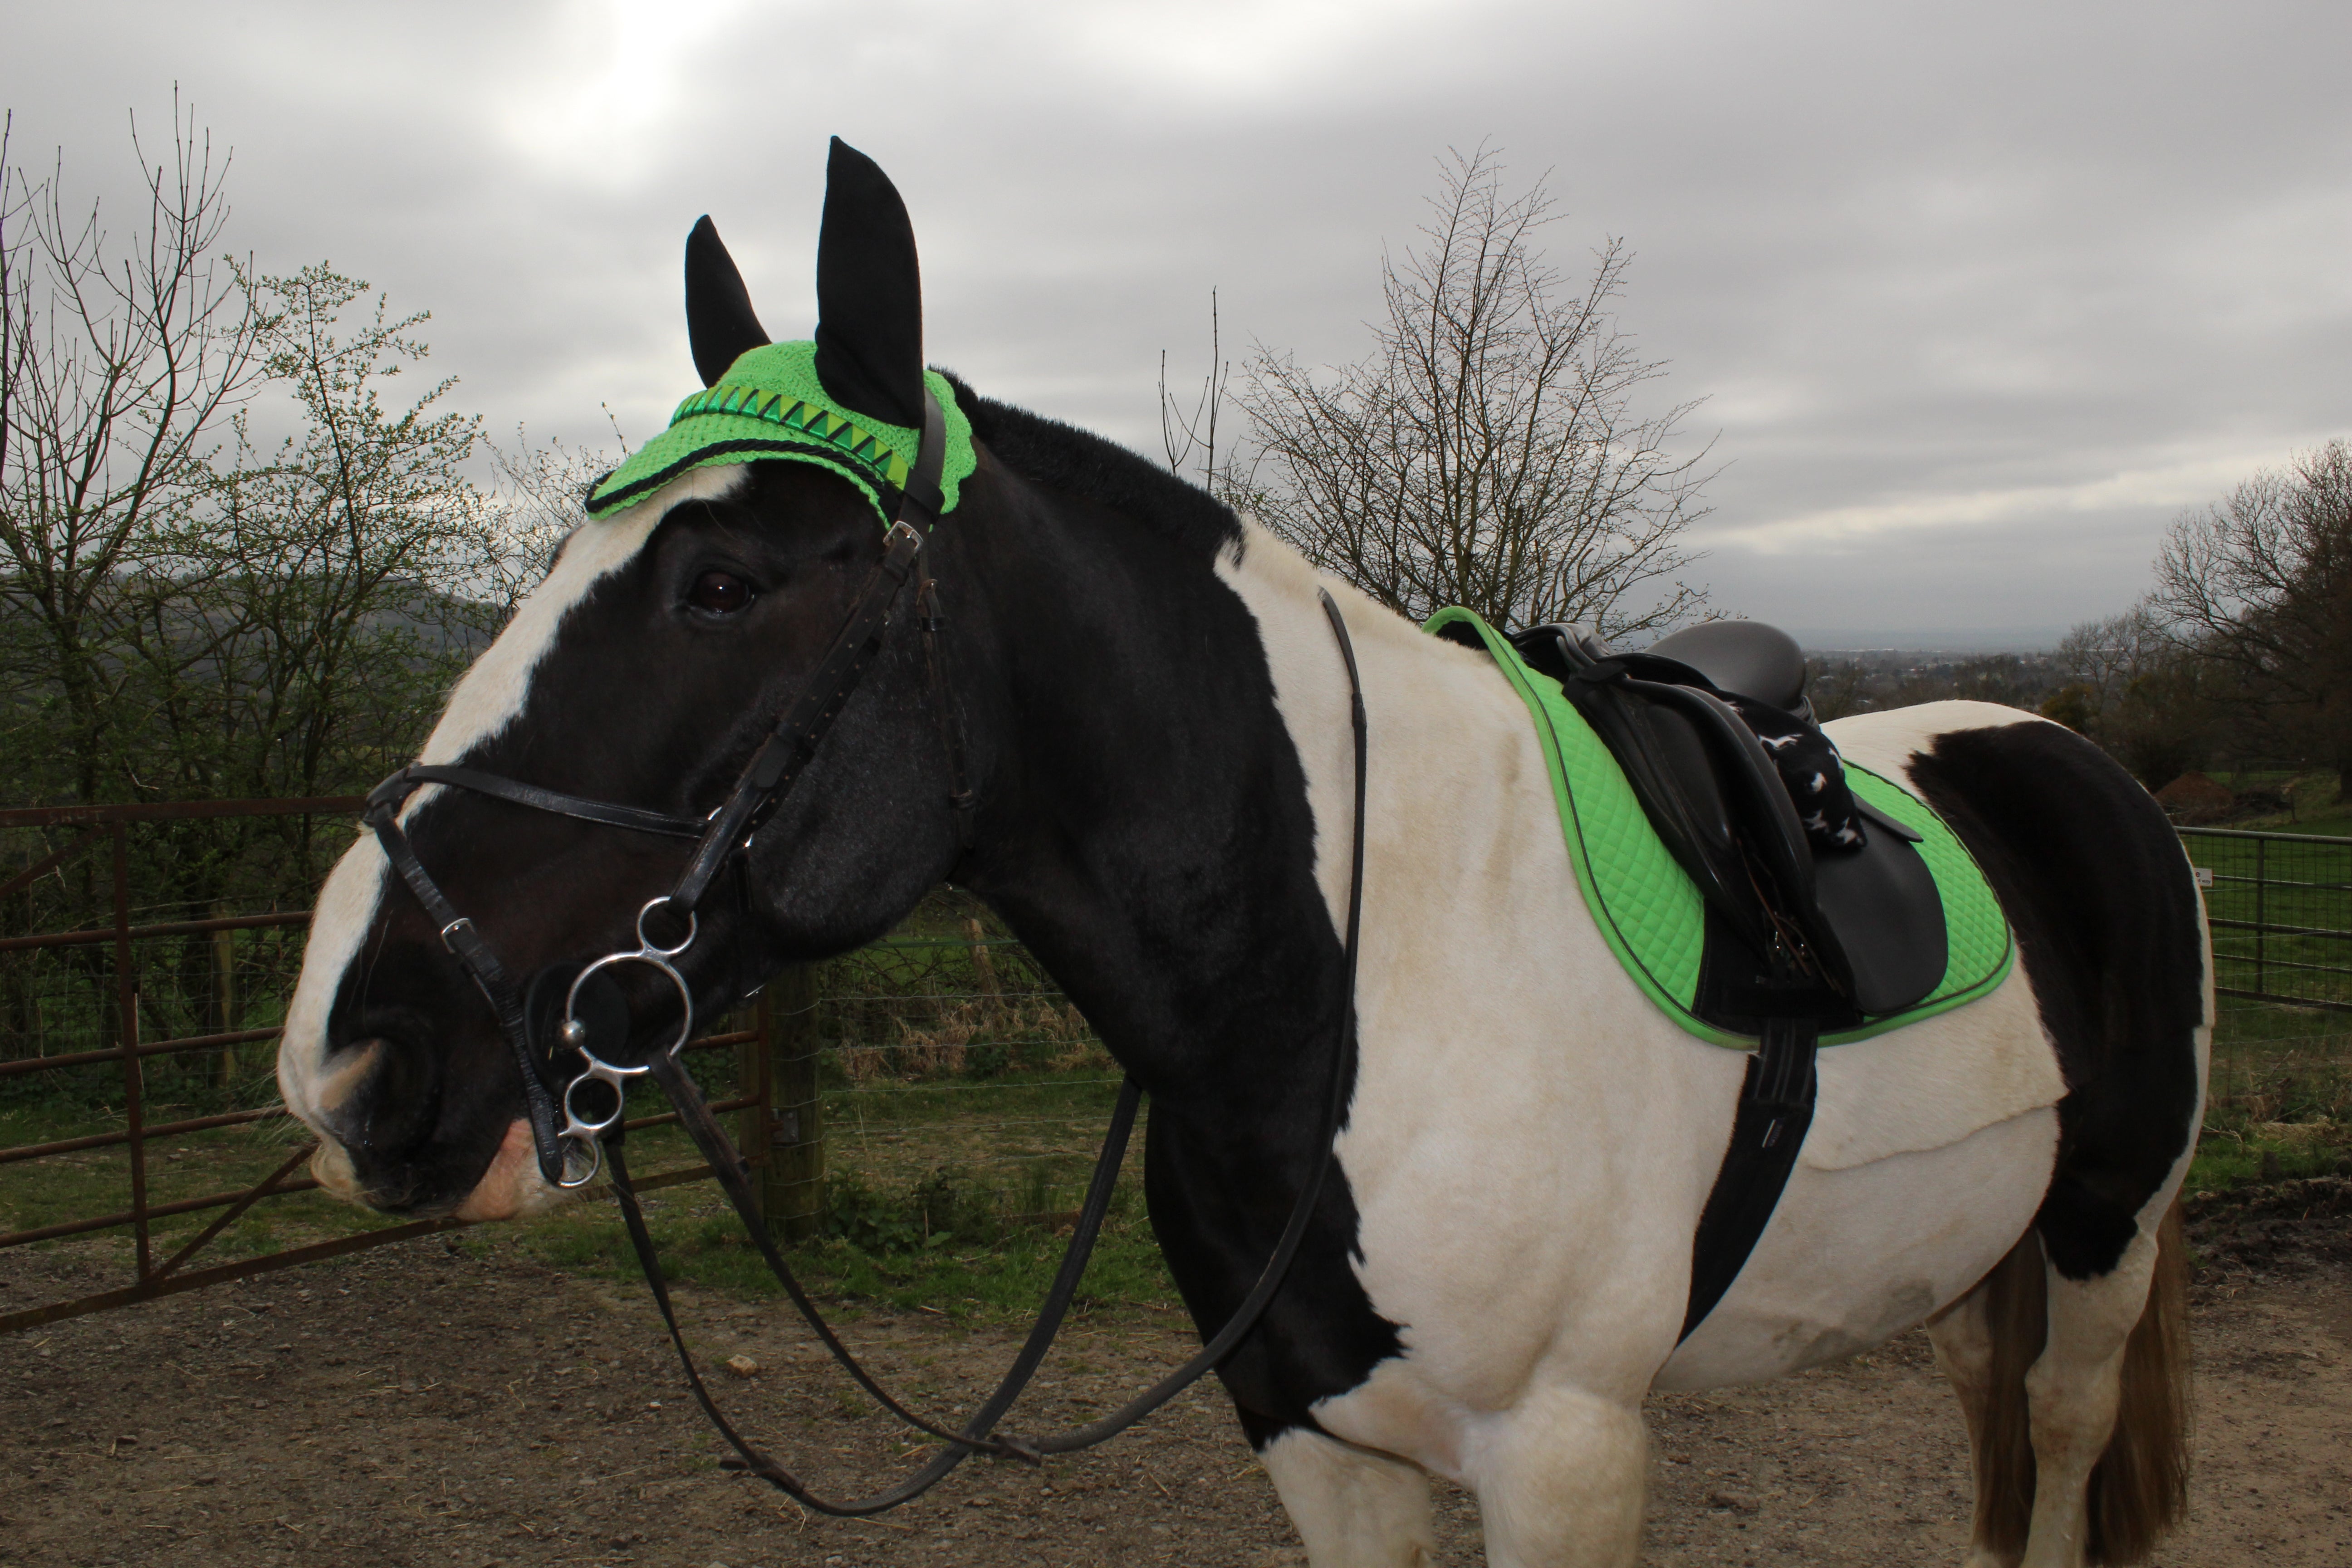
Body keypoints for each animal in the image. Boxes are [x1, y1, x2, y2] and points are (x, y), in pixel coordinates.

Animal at [275, 140, 2207, 1568]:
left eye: (724, 582)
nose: (342, 1060)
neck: (1360, 972)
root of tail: (2068, 760)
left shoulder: (1565, 1453)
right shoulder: (1317, 1437)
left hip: (2103, 1232)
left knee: (2056, 1436)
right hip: (1964, 1259)